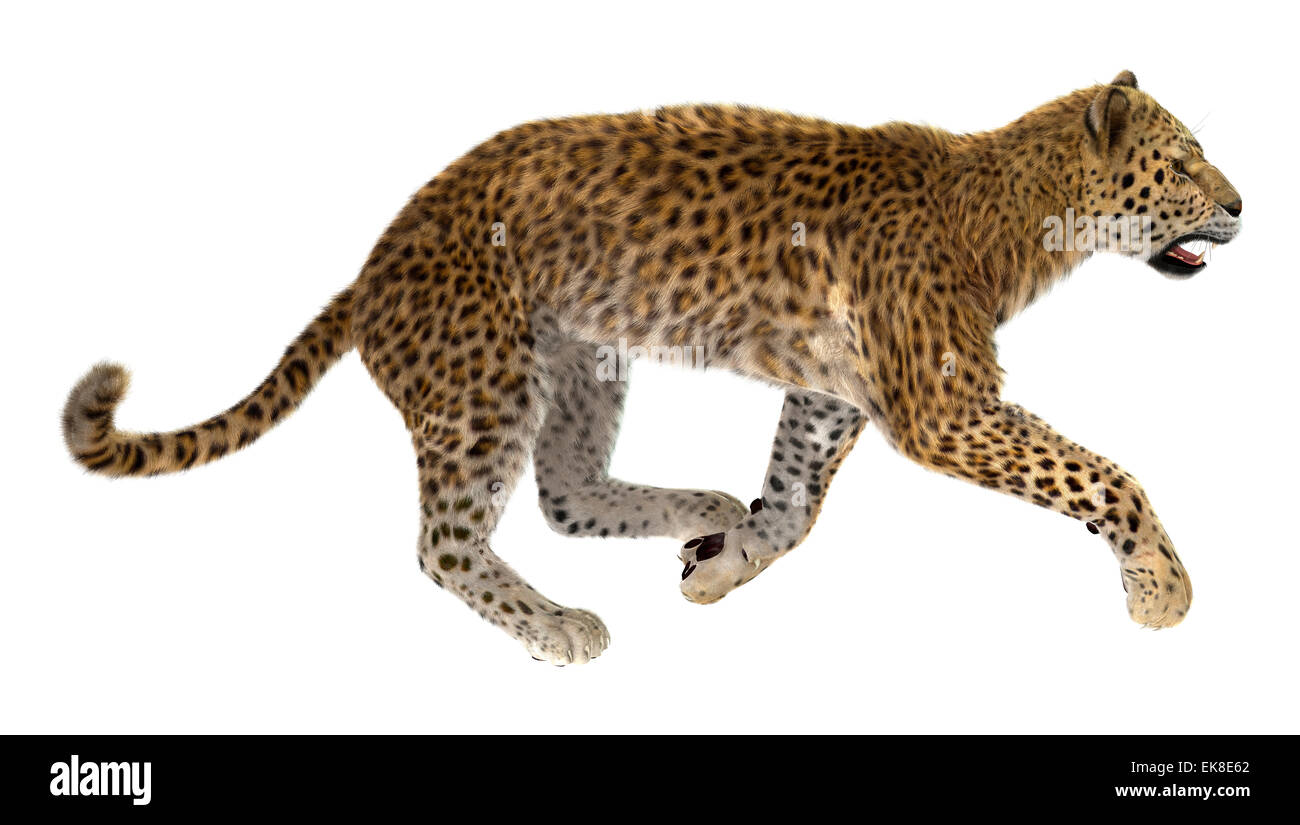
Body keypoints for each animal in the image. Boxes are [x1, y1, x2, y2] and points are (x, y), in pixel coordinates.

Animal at [63, 71, 1242, 664]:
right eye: (1184, 166)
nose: (1241, 204)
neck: (1023, 218)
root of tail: (370, 266)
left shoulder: (834, 393)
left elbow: (793, 505)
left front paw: (725, 562)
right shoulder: (944, 407)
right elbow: (1104, 475)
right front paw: (1162, 588)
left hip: (579, 360)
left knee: (566, 490)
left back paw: (696, 509)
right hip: (486, 376)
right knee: (445, 544)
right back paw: (556, 625)